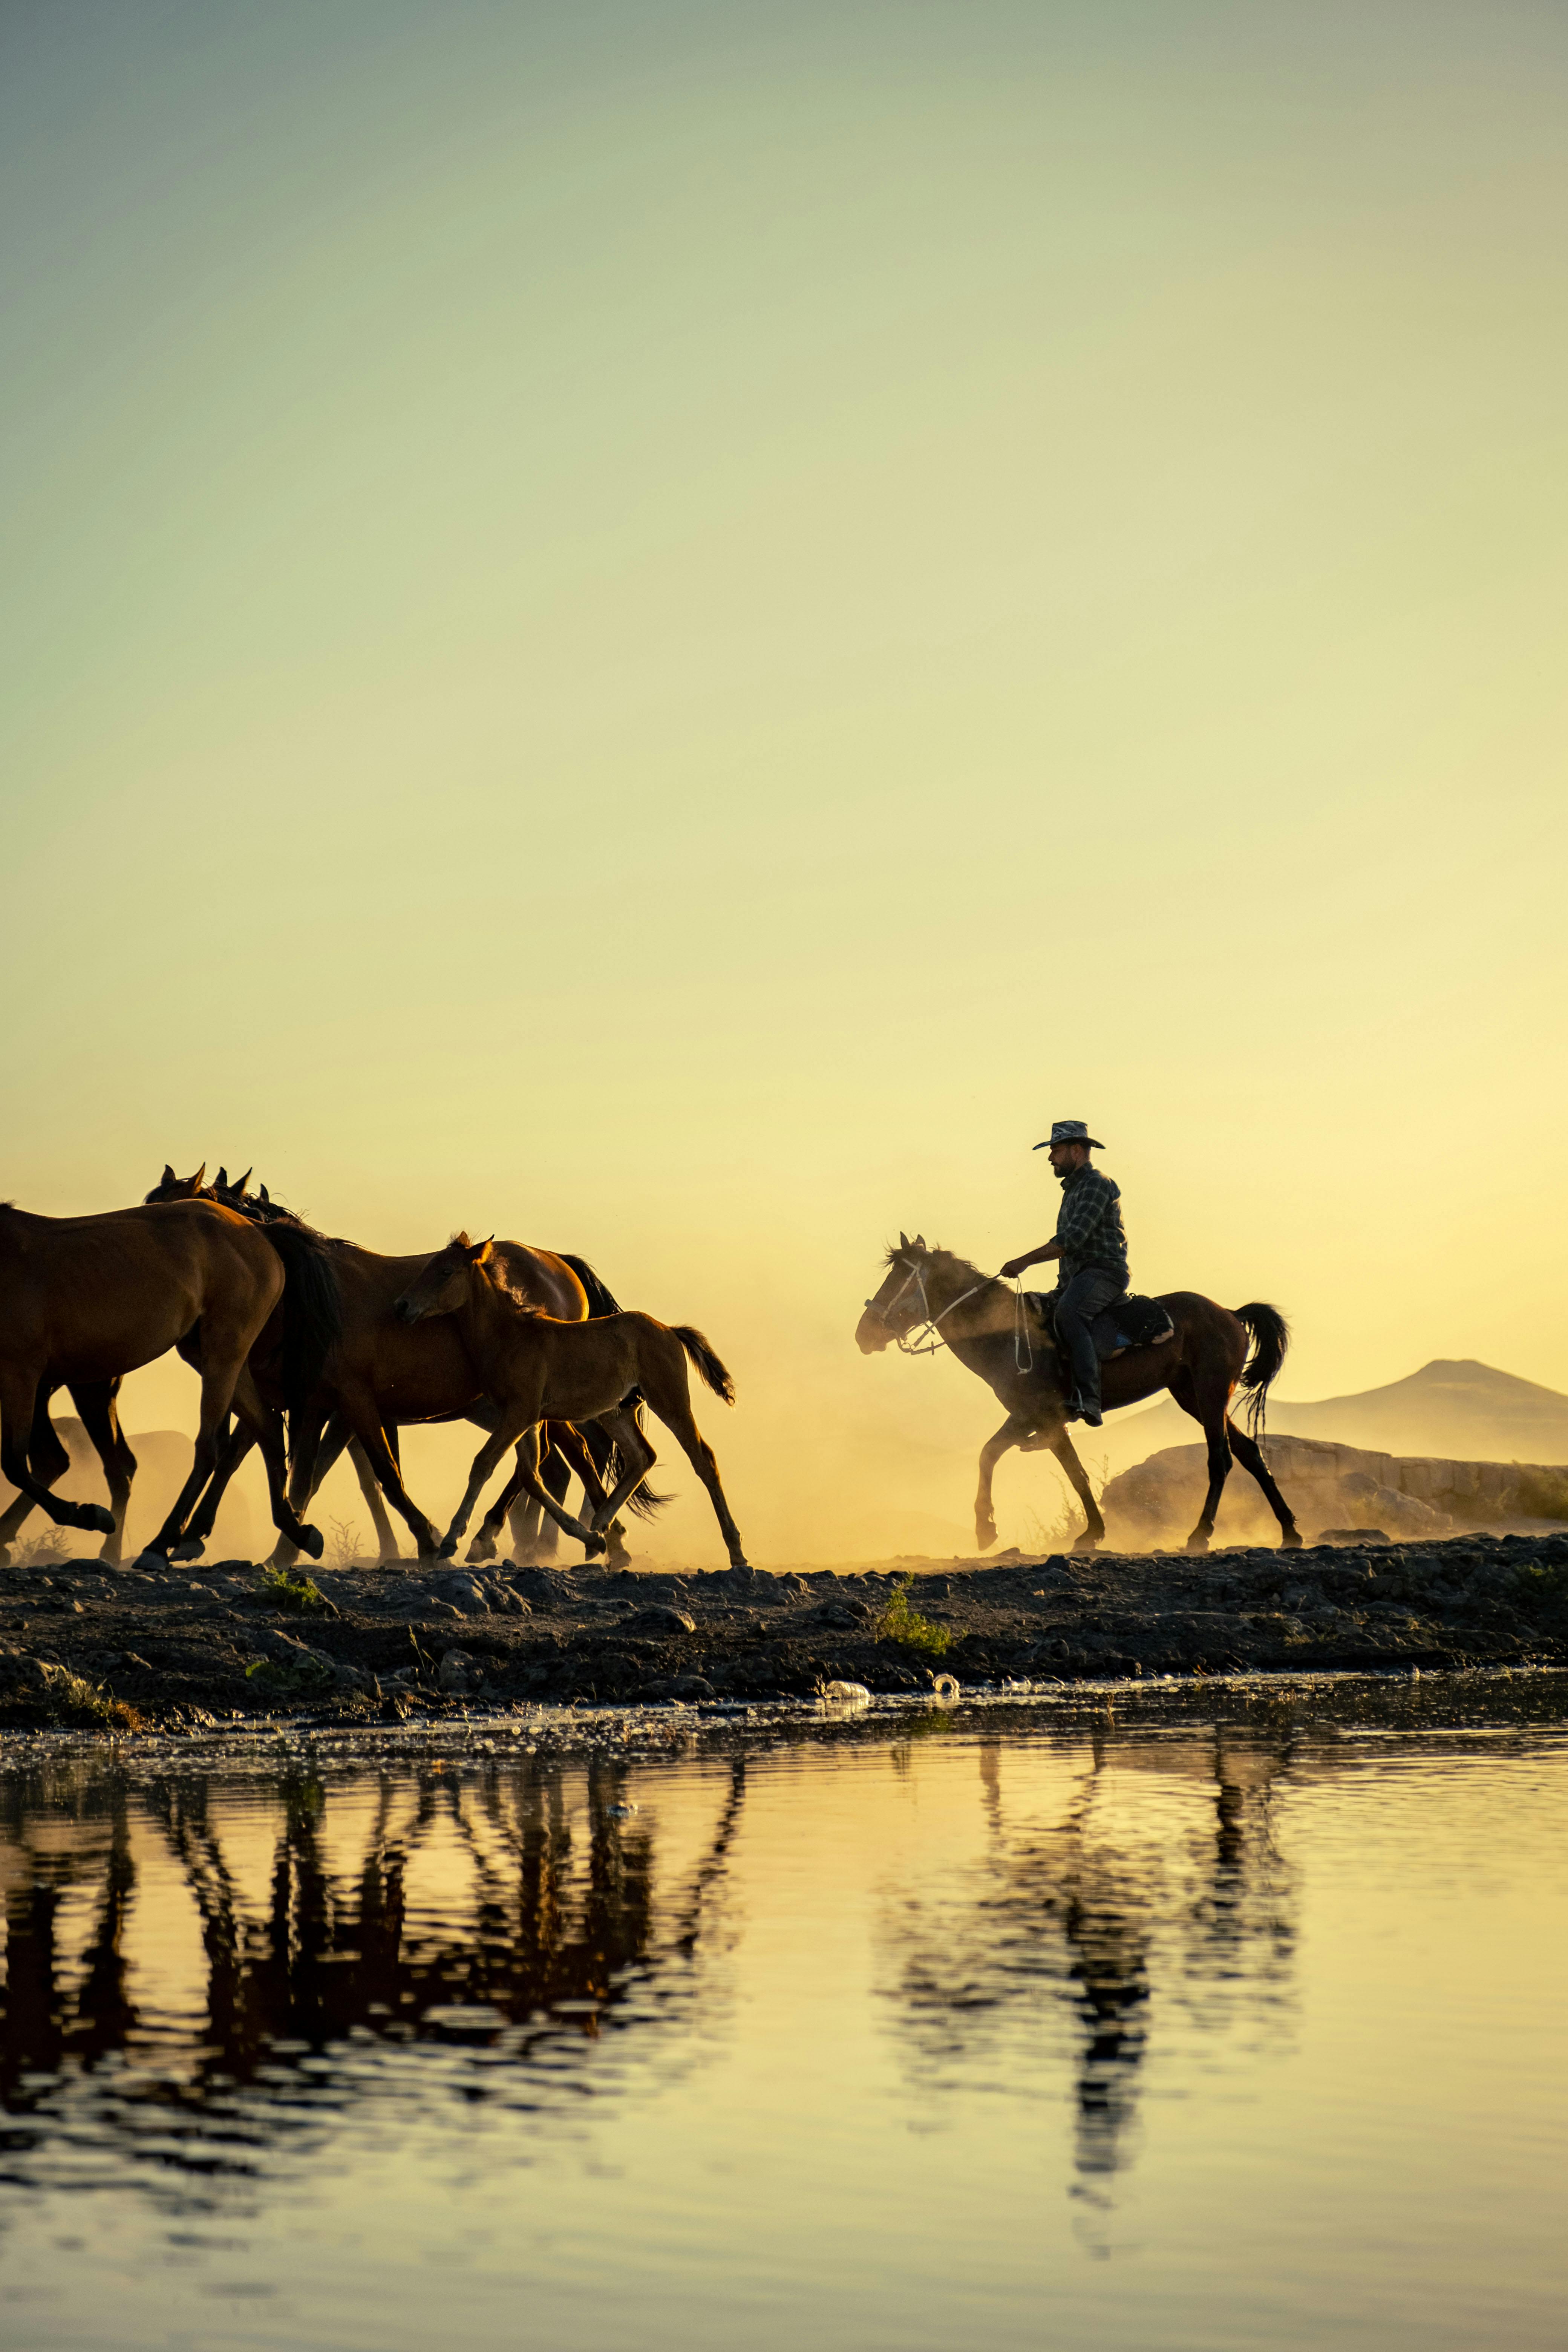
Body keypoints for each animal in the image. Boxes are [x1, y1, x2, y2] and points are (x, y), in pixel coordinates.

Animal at [0, 1197, 341, 1568]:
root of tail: (259, 1229)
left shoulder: (21, 1372)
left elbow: (15, 1462)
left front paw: (91, 1515)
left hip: (223, 1351)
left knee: (210, 1445)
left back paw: (160, 1543)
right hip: (208, 1354)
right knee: (267, 1428)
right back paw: (298, 1531)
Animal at [390, 1234, 750, 1569]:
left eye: (446, 1271)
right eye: (427, 1266)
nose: (402, 1307)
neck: (511, 1336)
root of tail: (670, 1330)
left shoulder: (520, 1414)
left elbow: (485, 1464)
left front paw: (452, 1541)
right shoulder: (528, 1419)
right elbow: (531, 1476)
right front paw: (588, 1538)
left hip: (670, 1401)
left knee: (703, 1459)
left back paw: (737, 1553)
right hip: (617, 1412)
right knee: (642, 1457)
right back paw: (601, 1525)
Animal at [856, 1235, 1302, 1553]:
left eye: (898, 1281)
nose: (864, 1334)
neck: (1006, 1334)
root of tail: (1230, 1314)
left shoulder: (1047, 1418)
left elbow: (1074, 1472)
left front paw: (1092, 1533)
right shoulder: (1024, 1417)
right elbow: (989, 1454)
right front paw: (986, 1528)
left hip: (1209, 1393)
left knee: (1221, 1458)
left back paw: (1201, 1533)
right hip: (1191, 1395)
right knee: (1248, 1452)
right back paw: (1289, 1530)